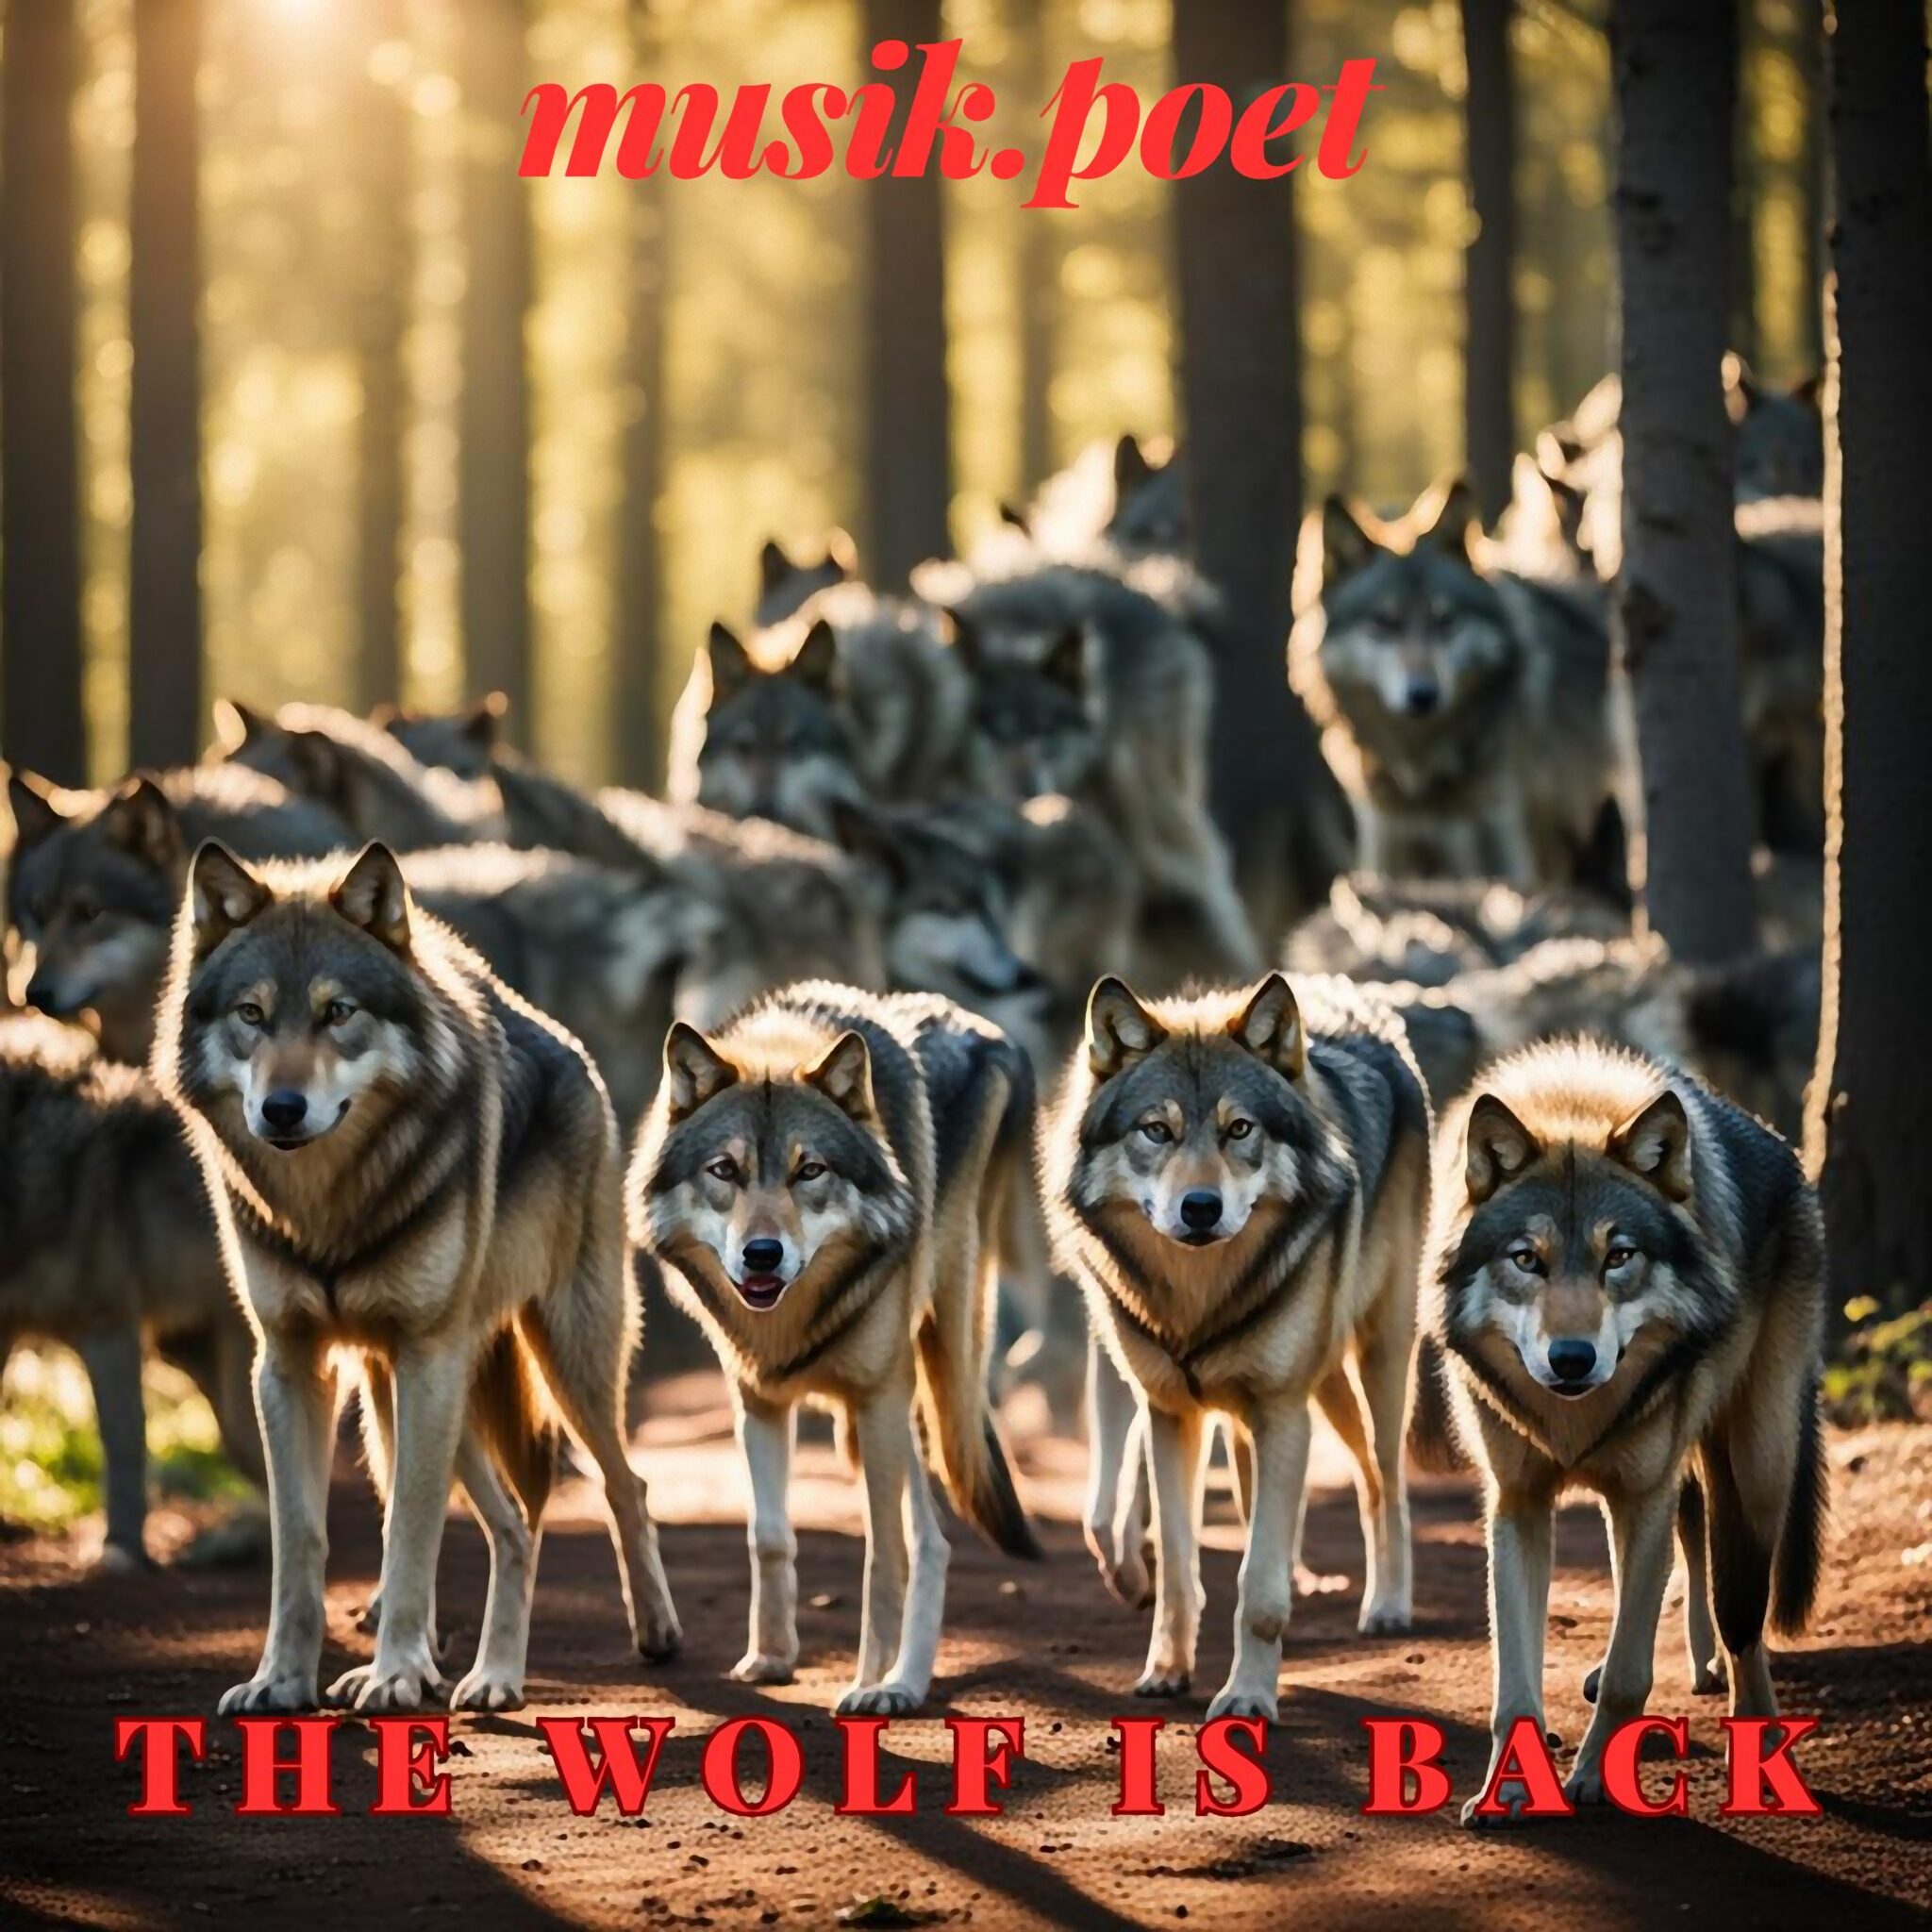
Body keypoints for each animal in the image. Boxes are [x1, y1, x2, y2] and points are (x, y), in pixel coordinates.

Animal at [155, 840, 680, 1713]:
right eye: (252, 1016)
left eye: (338, 1012)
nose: (283, 1109)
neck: (331, 1209)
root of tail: (560, 1038)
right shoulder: (288, 1364)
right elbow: (302, 1541)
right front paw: (283, 1679)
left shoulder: (428, 1359)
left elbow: (410, 1530)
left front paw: (395, 1674)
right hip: (396, 1393)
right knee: (508, 1520)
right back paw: (464, 1668)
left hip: (554, 1362)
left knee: (618, 1488)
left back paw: (626, 1640)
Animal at [629, 984, 1039, 1713]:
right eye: (724, 1170)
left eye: (810, 1170)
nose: (763, 1253)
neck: (786, 1322)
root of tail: (991, 1034)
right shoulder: (758, 1399)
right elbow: (768, 1536)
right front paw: (771, 1657)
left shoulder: (878, 1398)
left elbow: (882, 1557)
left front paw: (869, 1680)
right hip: (882, 1411)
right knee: (931, 1536)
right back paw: (906, 1676)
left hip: (923, 1378)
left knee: (925, 1537)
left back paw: (900, 1684)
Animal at [1043, 972, 1430, 1719]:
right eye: (1157, 1131)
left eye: (1239, 1128)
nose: (1200, 1208)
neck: (1199, 1301)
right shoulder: (1171, 1414)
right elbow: (1178, 1566)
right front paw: (1166, 1671)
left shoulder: (1281, 1411)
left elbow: (1257, 1584)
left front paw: (1249, 1694)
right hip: (1269, 1409)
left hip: (1376, 1361)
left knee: (1383, 1479)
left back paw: (1388, 1606)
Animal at [1289, 479, 1620, 890]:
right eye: (1384, 622)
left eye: (1445, 621)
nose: (1423, 695)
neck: (1422, 764)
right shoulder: (1386, 844)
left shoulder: (1502, 836)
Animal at [1428, 1039, 1826, 1822]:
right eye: (1527, 1258)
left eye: (1620, 1255)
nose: (1572, 1358)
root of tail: (1777, 1141)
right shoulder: (1518, 1503)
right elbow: (1514, 1683)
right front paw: (1508, 1788)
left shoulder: (1644, 1495)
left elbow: (1629, 1672)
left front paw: (1591, 1777)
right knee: (1692, 1539)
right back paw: (1700, 1665)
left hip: (1757, 1461)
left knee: (1741, 1606)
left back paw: (1757, 1729)